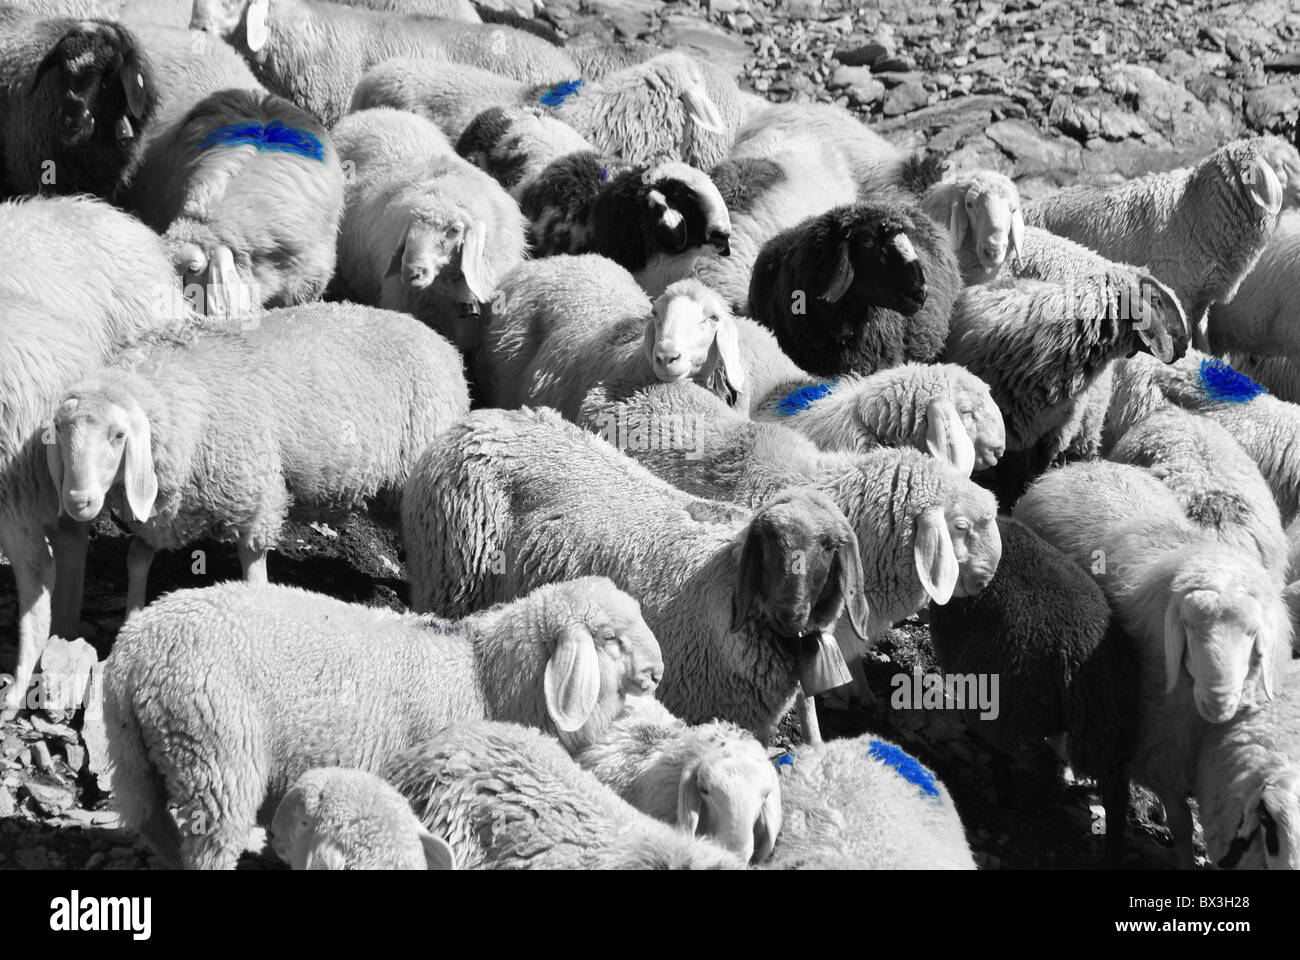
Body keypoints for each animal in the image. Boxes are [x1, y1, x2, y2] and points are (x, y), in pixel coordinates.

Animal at [46, 301, 469, 617]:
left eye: (119, 436)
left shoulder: (254, 497)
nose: (78, 501)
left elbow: (252, 564)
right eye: (61, 431)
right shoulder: (162, 508)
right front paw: (132, 616)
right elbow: (137, 559)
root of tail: (443, 343)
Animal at [928, 516, 1139, 865]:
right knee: (1117, 790)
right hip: (1108, 726)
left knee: (1041, 766)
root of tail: (1077, 651)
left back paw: (1023, 810)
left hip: (1016, 708)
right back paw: (1113, 851)